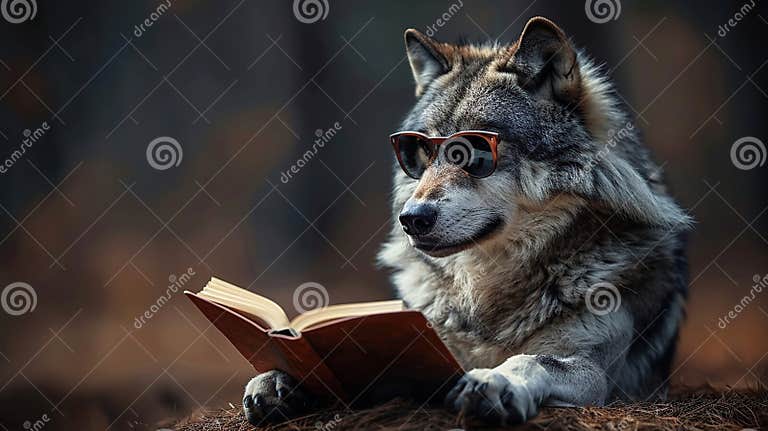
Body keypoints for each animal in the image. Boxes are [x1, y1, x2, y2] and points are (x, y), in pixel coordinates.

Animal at [242, 16, 691, 425]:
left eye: (474, 150)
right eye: (418, 151)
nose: (411, 219)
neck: (488, 289)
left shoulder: (594, 371)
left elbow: (531, 360)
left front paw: (495, 381)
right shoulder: (430, 339)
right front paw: (282, 374)